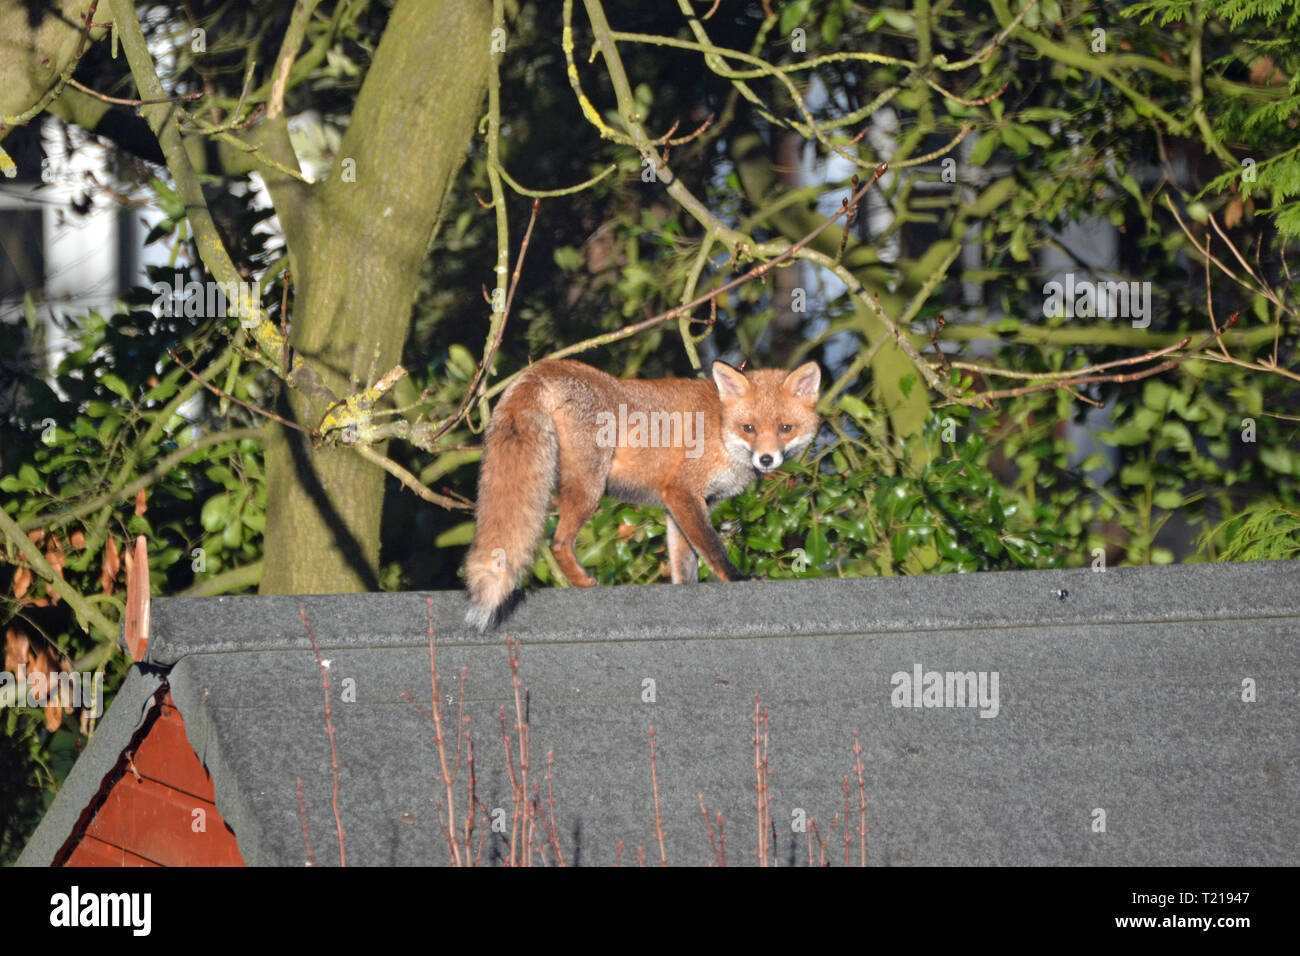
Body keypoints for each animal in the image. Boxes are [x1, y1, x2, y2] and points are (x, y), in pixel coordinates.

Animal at [463, 357, 822, 631]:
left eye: (785, 428)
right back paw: (583, 583)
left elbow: (684, 566)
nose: (766, 459)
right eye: (749, 429)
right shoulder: (682, 491)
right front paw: (737, 578)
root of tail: (550, 364)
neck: (721, 429)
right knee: (559, 543)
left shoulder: (678, 507)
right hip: (589, 488)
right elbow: (712, 548)